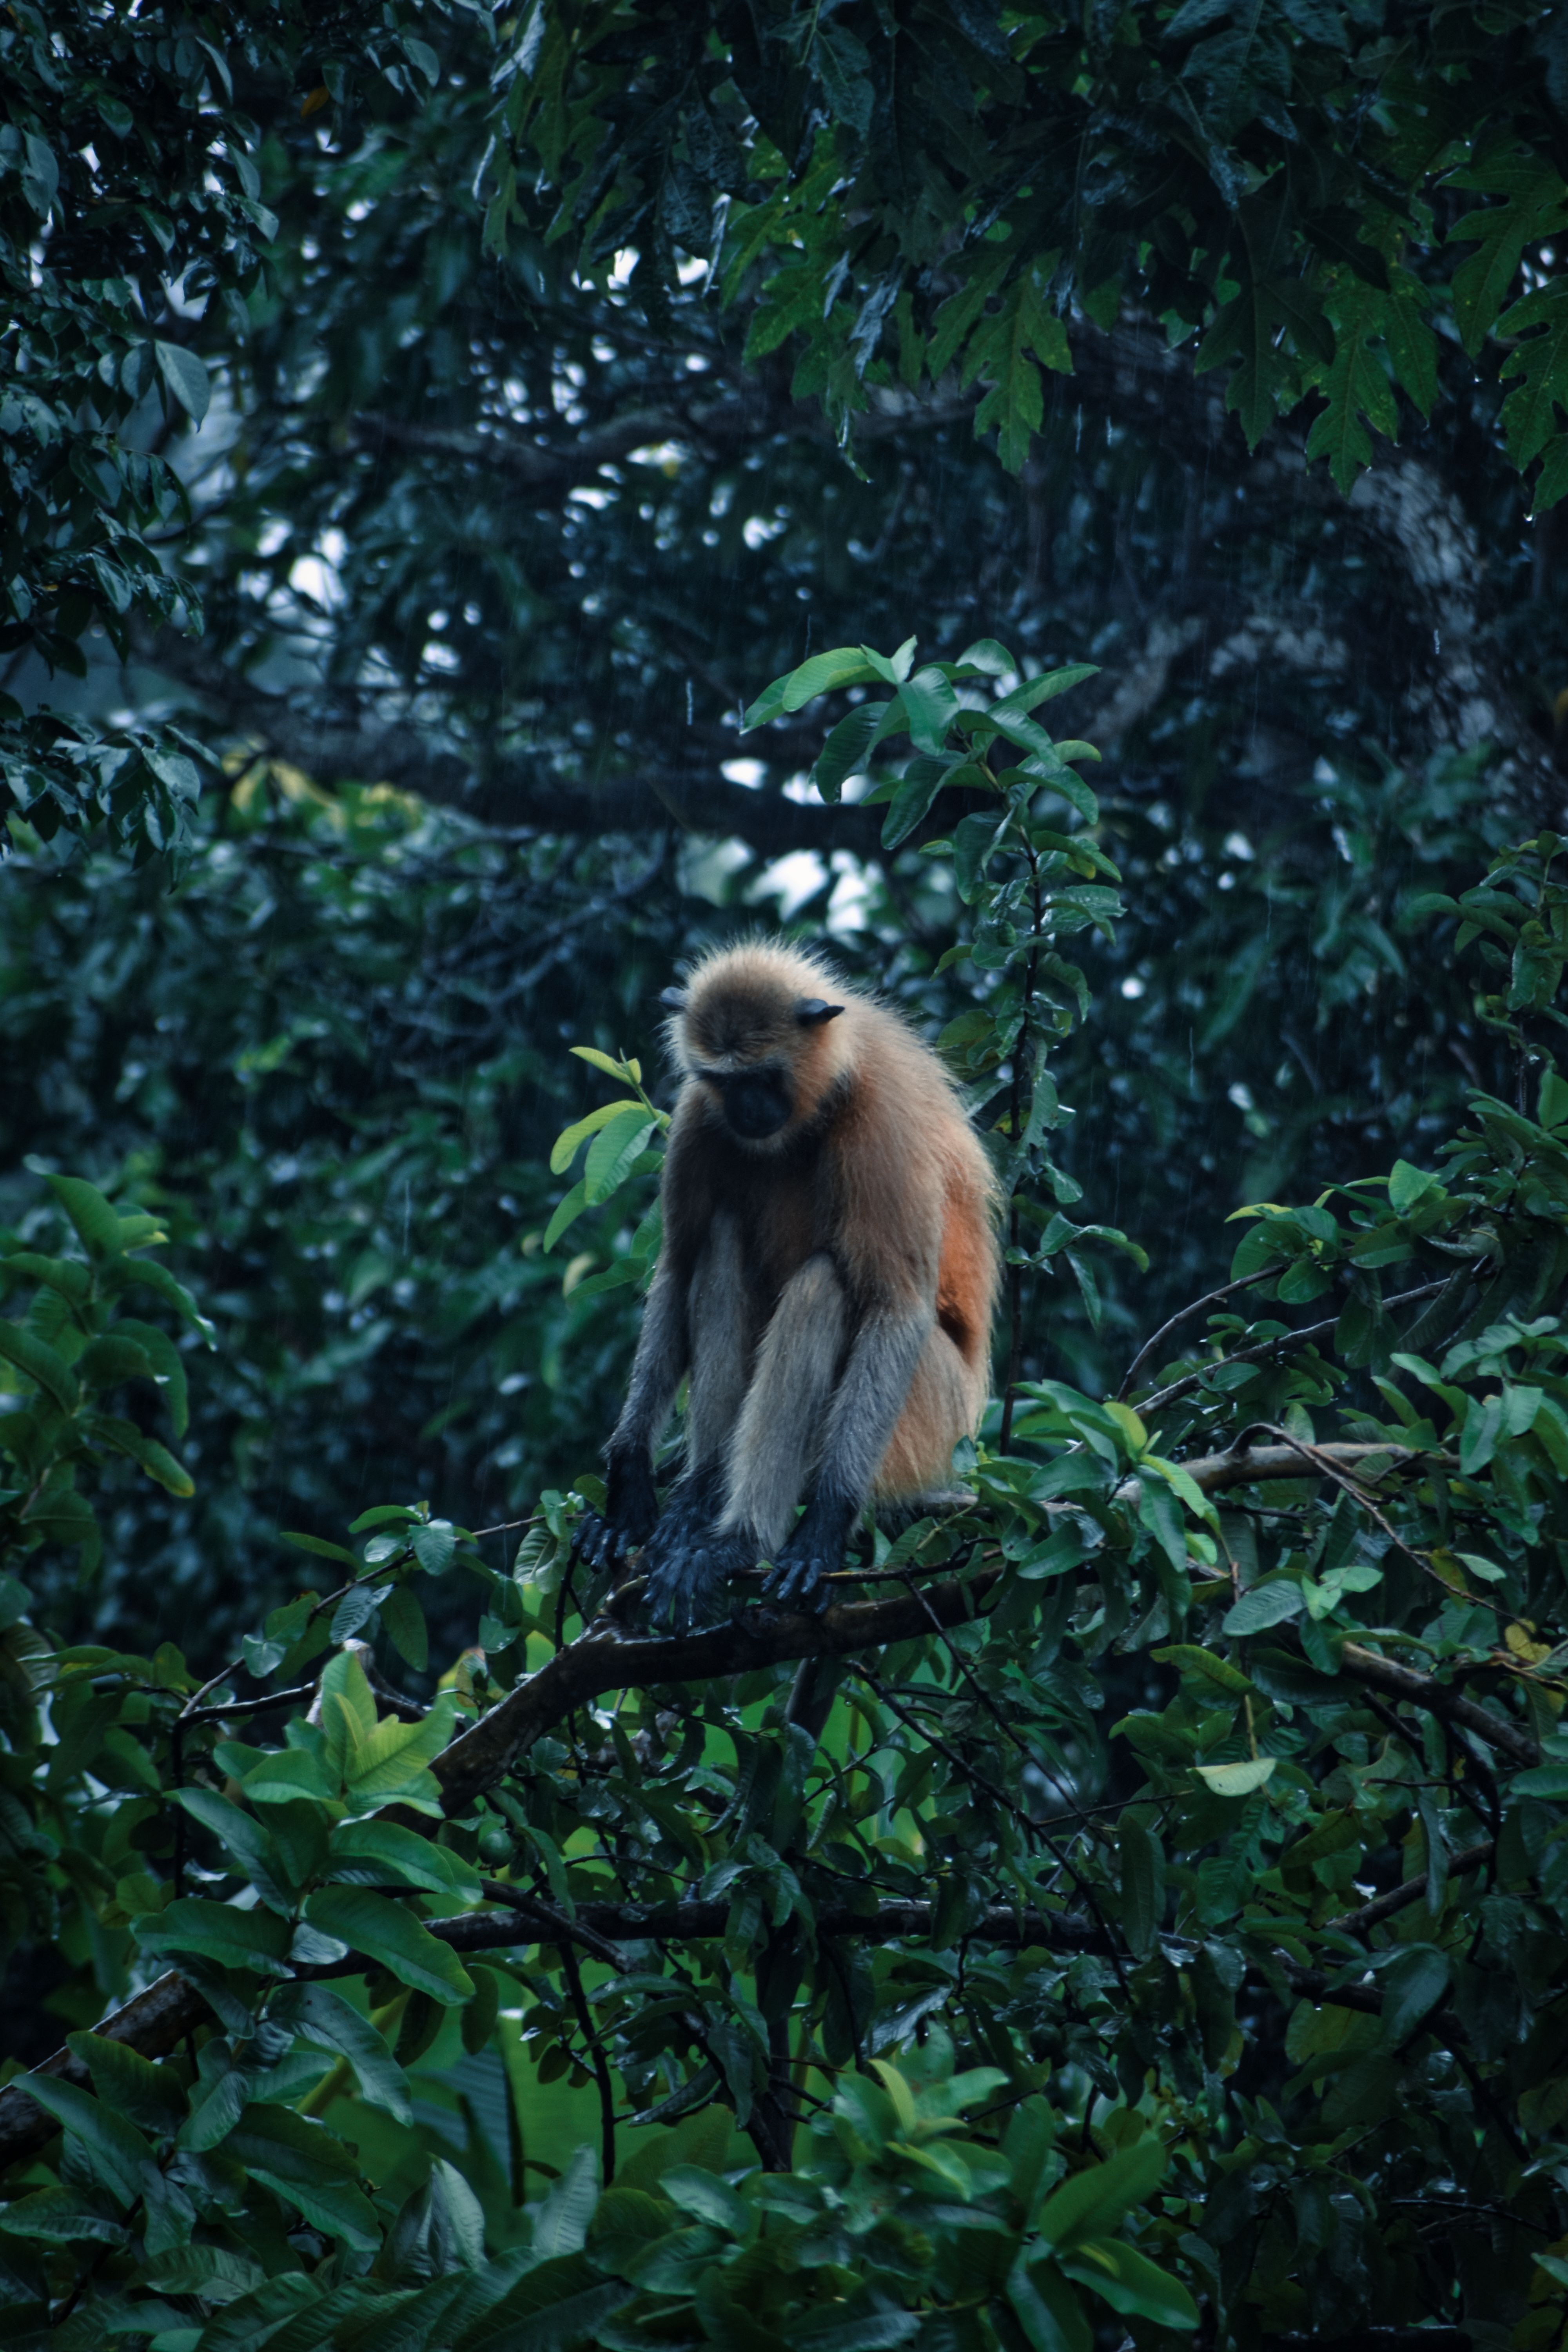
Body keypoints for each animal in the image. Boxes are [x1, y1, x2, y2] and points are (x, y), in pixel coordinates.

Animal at [573, 940, 1000, 1632]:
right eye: (726, 1081)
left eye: (763, 1077)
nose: (747, 1113)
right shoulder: (700, 1110)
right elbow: (678, 1268)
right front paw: (628, 1482)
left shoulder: (881, 1115)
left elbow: (897, 1308)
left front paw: (822, 1527)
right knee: (720, 1241)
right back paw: (701, 1495)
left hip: (930, 1419)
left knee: (826, 1286)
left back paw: (740, 1541)